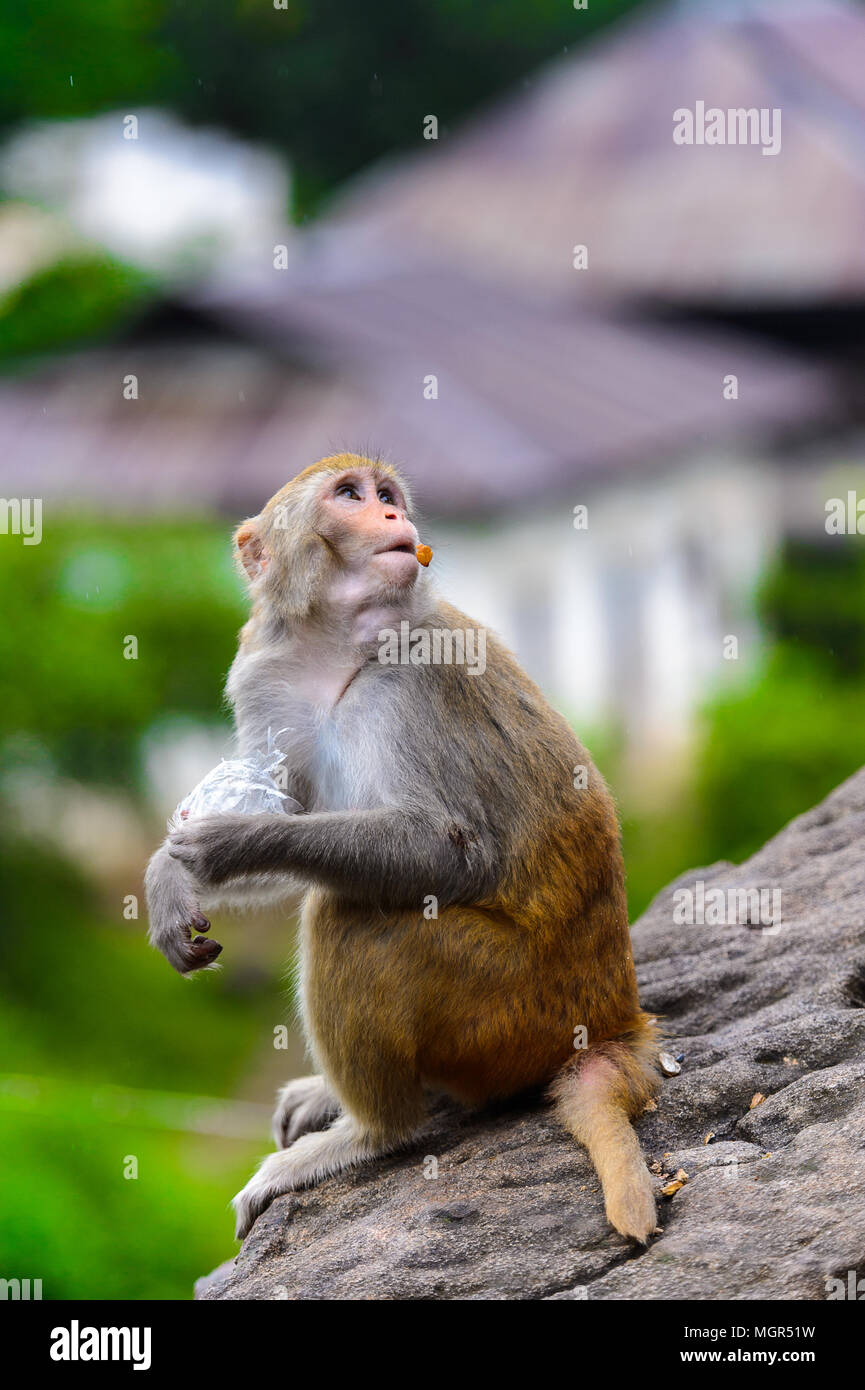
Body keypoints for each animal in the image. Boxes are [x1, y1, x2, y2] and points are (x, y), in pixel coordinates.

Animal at [145, 452, 660, 1244]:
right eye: (350, 495)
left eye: (384, 495)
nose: (393, 516)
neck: (339, 647)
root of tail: (612, 1022)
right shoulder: (263, 674)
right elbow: (291, 801)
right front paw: (167, 874)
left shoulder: (414, 677)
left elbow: (452, 851)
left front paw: (227, 842)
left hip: (507, 1009)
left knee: (351, 919)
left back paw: (372, 1131)